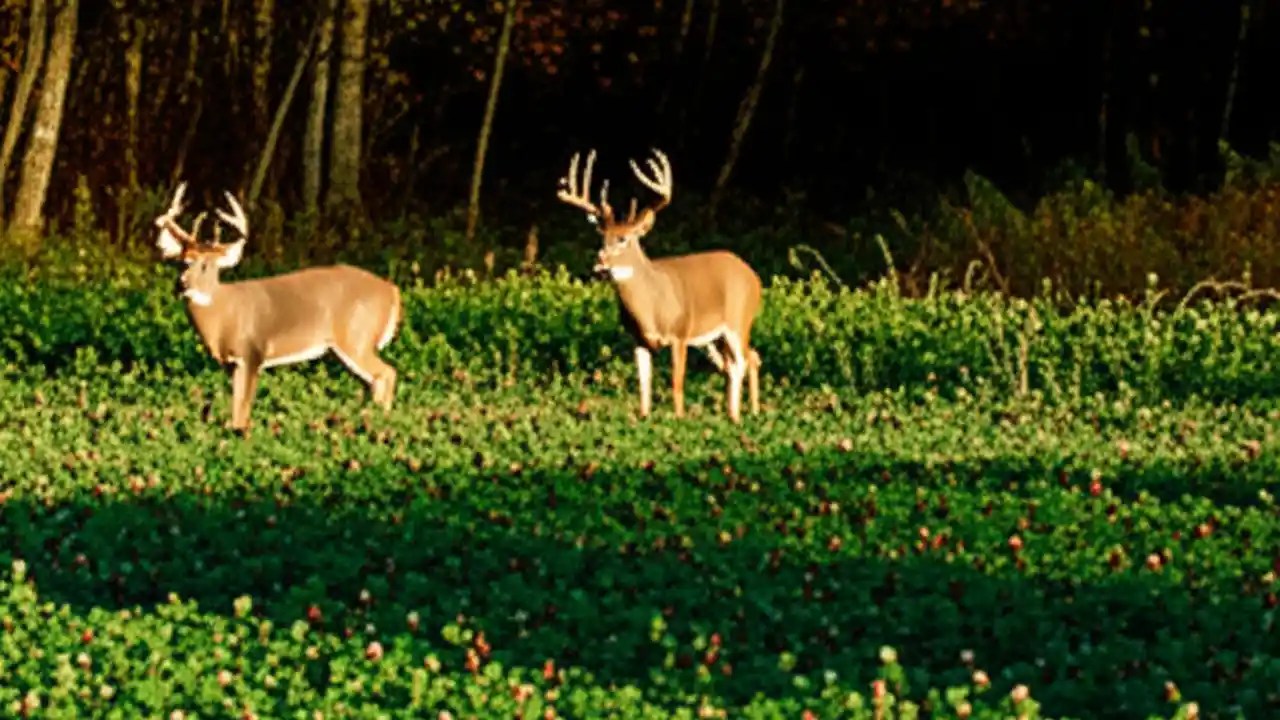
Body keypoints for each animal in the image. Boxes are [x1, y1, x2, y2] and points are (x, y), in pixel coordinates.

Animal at [152, 183, 402, 433]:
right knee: (374, 381)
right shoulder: (231, 363)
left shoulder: (252, 352)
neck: (222, 316)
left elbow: (241, 414)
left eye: (206, 265)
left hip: (357, 337)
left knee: (387, 372)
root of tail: (392, 291)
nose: (182, 284)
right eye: (182, 261)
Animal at [556, 148, 763, 422]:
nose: (600, 266)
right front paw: (644, 417)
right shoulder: (639, 340)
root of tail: (753, 275)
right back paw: (746, 411)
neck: (650, 308)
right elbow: (644, 384)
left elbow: (677, 382)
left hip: (739, 320)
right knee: (746, 359)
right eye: (602, 238)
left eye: (623, 239)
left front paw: (679, 419)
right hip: (714, 338)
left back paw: (737, 416)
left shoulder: (680, 333)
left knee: (741, 362)